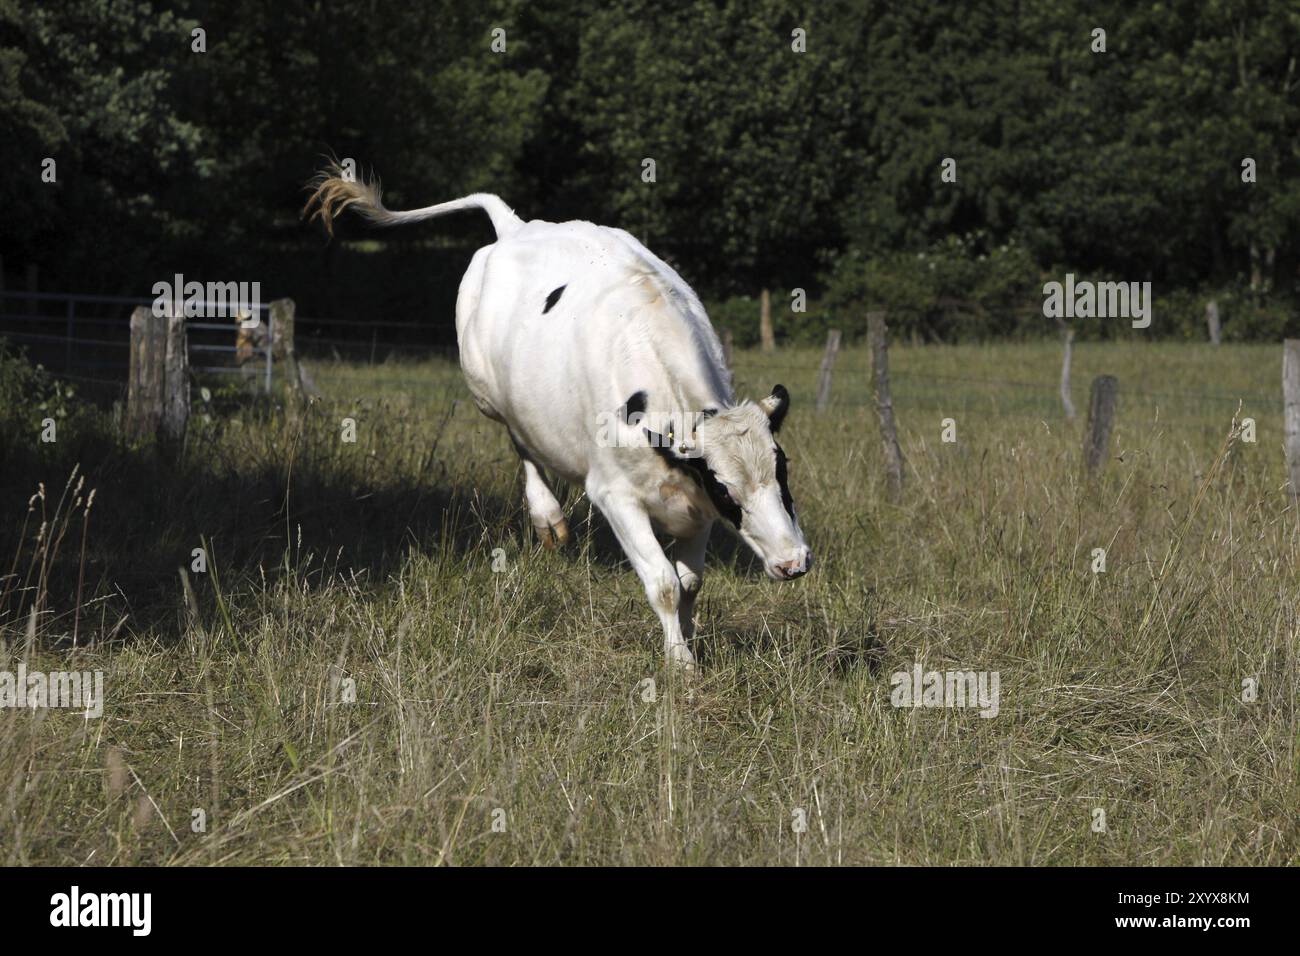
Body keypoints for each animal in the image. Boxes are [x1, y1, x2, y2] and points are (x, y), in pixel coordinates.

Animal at [304, 164, 812, 668]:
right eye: (727, 491)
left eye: (783, 472)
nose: (793, 562)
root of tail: (515, 226)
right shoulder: (614, 495)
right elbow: (664, 584)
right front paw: (680, 662)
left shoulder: (695, 500)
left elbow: (690, 584)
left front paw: (687, 641)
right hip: (487, 394)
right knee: (521, 441)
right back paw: (546, 514)